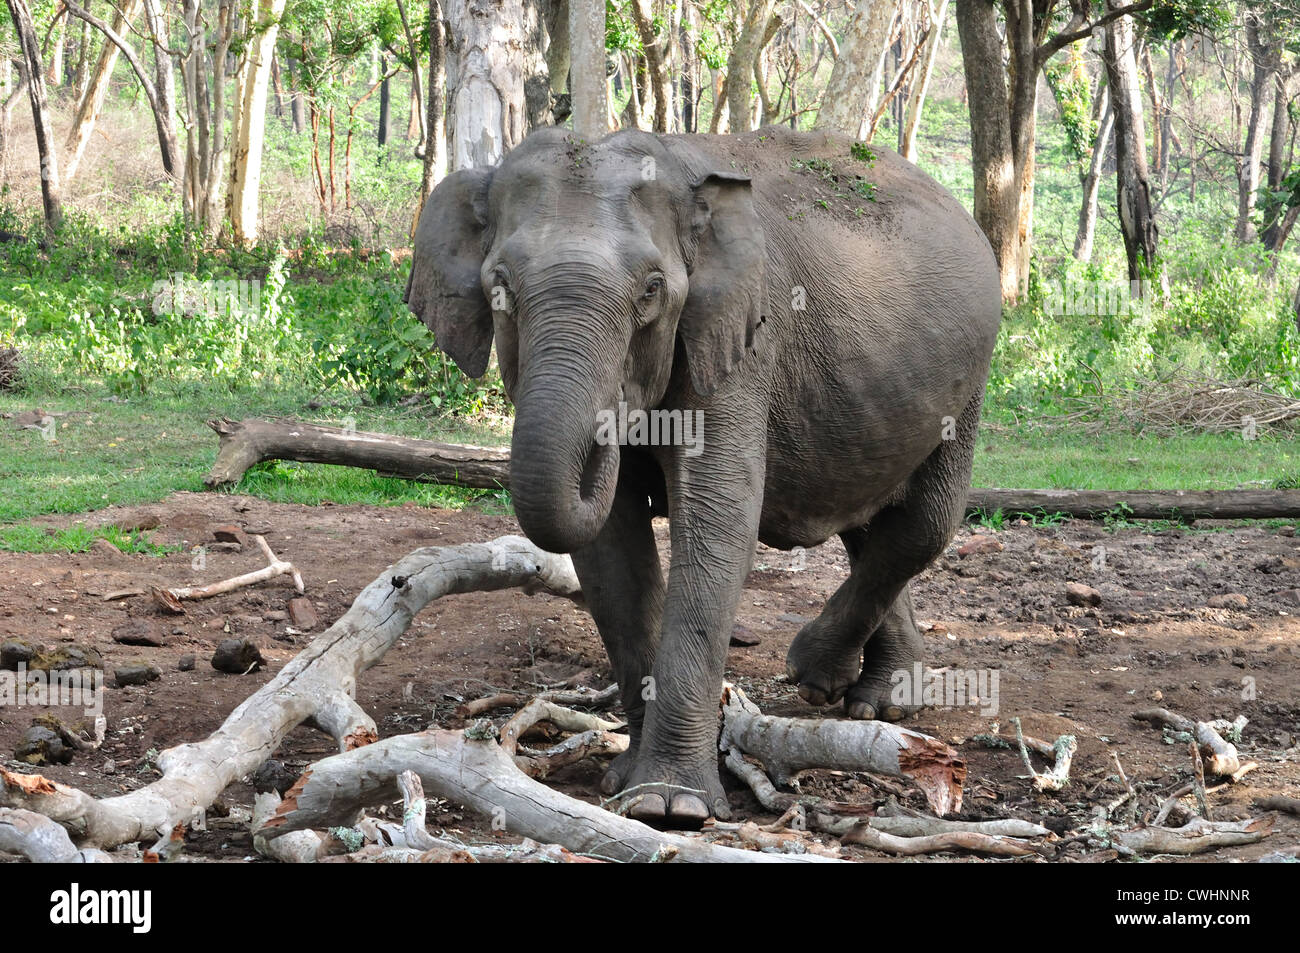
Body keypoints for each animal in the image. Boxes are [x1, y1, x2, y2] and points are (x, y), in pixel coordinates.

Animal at [405, 124, 1001, 826]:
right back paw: (860, 699)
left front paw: (674, 805)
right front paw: (627, 789)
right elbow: (611, 547)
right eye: (499, 285)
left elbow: (719, 520)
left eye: (651, 290)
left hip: (968, 383)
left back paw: (822, 678)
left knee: (921, 525)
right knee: (869, 524)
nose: (617, 424)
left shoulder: (742, 342)